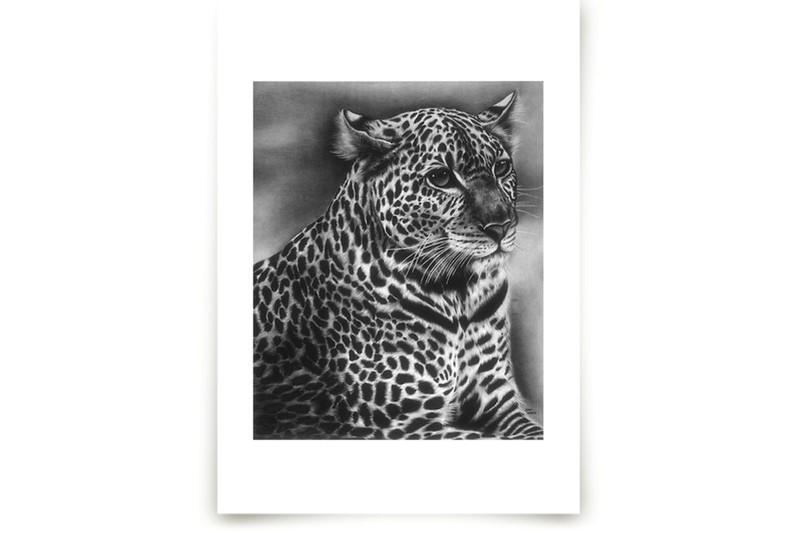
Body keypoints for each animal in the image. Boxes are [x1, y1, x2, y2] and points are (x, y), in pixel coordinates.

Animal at [253, 91, 543, 439]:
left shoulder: (497, 398)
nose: (502, 226)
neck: (458, 293)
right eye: (440, 177)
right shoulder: (403, 423)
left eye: (501, 167)